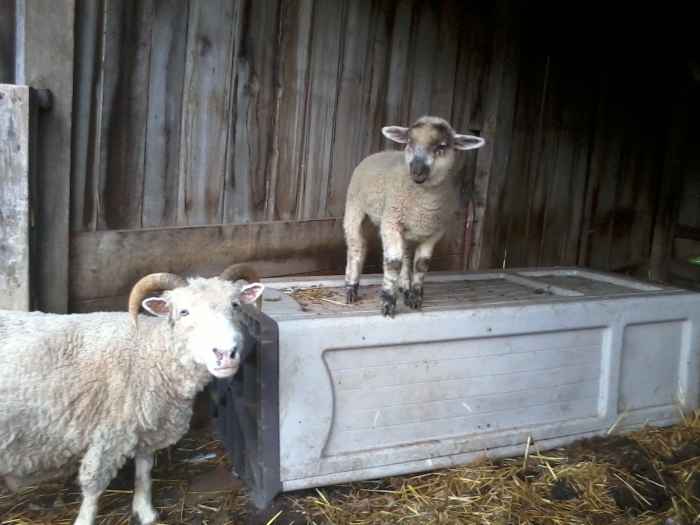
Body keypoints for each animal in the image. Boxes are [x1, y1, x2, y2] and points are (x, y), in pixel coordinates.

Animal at [0, 264, 264, 525]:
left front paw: (146, 512)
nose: (225, 353)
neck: (149, 353)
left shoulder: (146, 427)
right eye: (184, 312)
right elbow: (93, 485)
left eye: (235, 305)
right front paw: (85, 519)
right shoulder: (110, 432)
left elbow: (144, 472)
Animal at [344, 115, 485, 317]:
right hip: (354, 208)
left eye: (441, 146)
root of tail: (376, 153)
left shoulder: (435, 231)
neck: (423, 203)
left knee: (406, 257)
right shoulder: (391, 223)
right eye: (410, 142)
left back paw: (404, 288)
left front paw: (415, 298)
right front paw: (388, 303)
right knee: (356, 247)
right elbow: (393, 263)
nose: (416, 171)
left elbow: (421, 265)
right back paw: (351, 289)